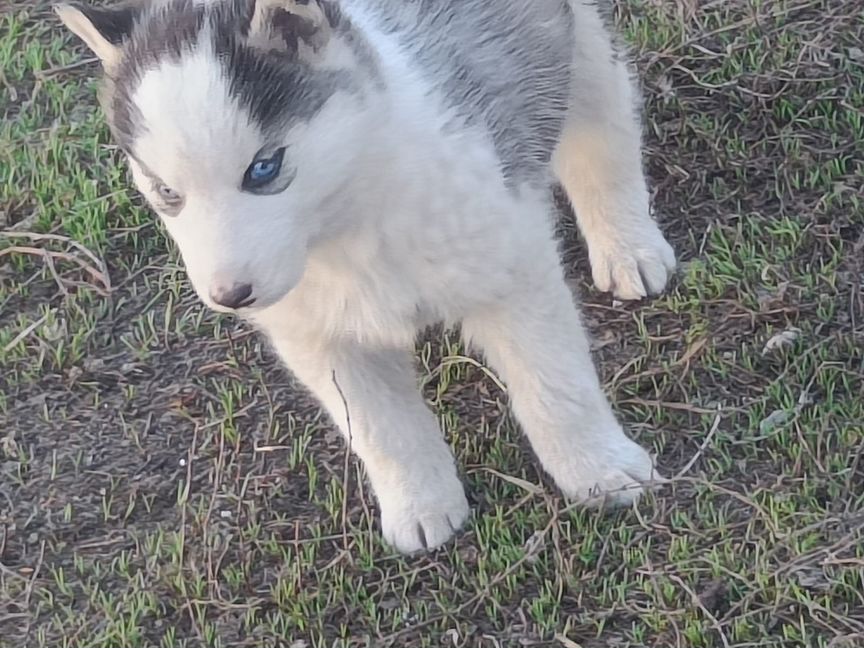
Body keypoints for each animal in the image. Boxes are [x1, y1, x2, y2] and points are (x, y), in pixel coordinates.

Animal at [57, 1, 676, 552]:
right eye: (167, 192)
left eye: (264, 168)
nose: (230, 296)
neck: (343, 229)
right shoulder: (317, 338)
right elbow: (381, 430)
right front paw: (420, 507)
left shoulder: (511, 271)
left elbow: (556, 387)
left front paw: (600, 471)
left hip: (576, 39)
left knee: (603, 122)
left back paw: (628, 245)